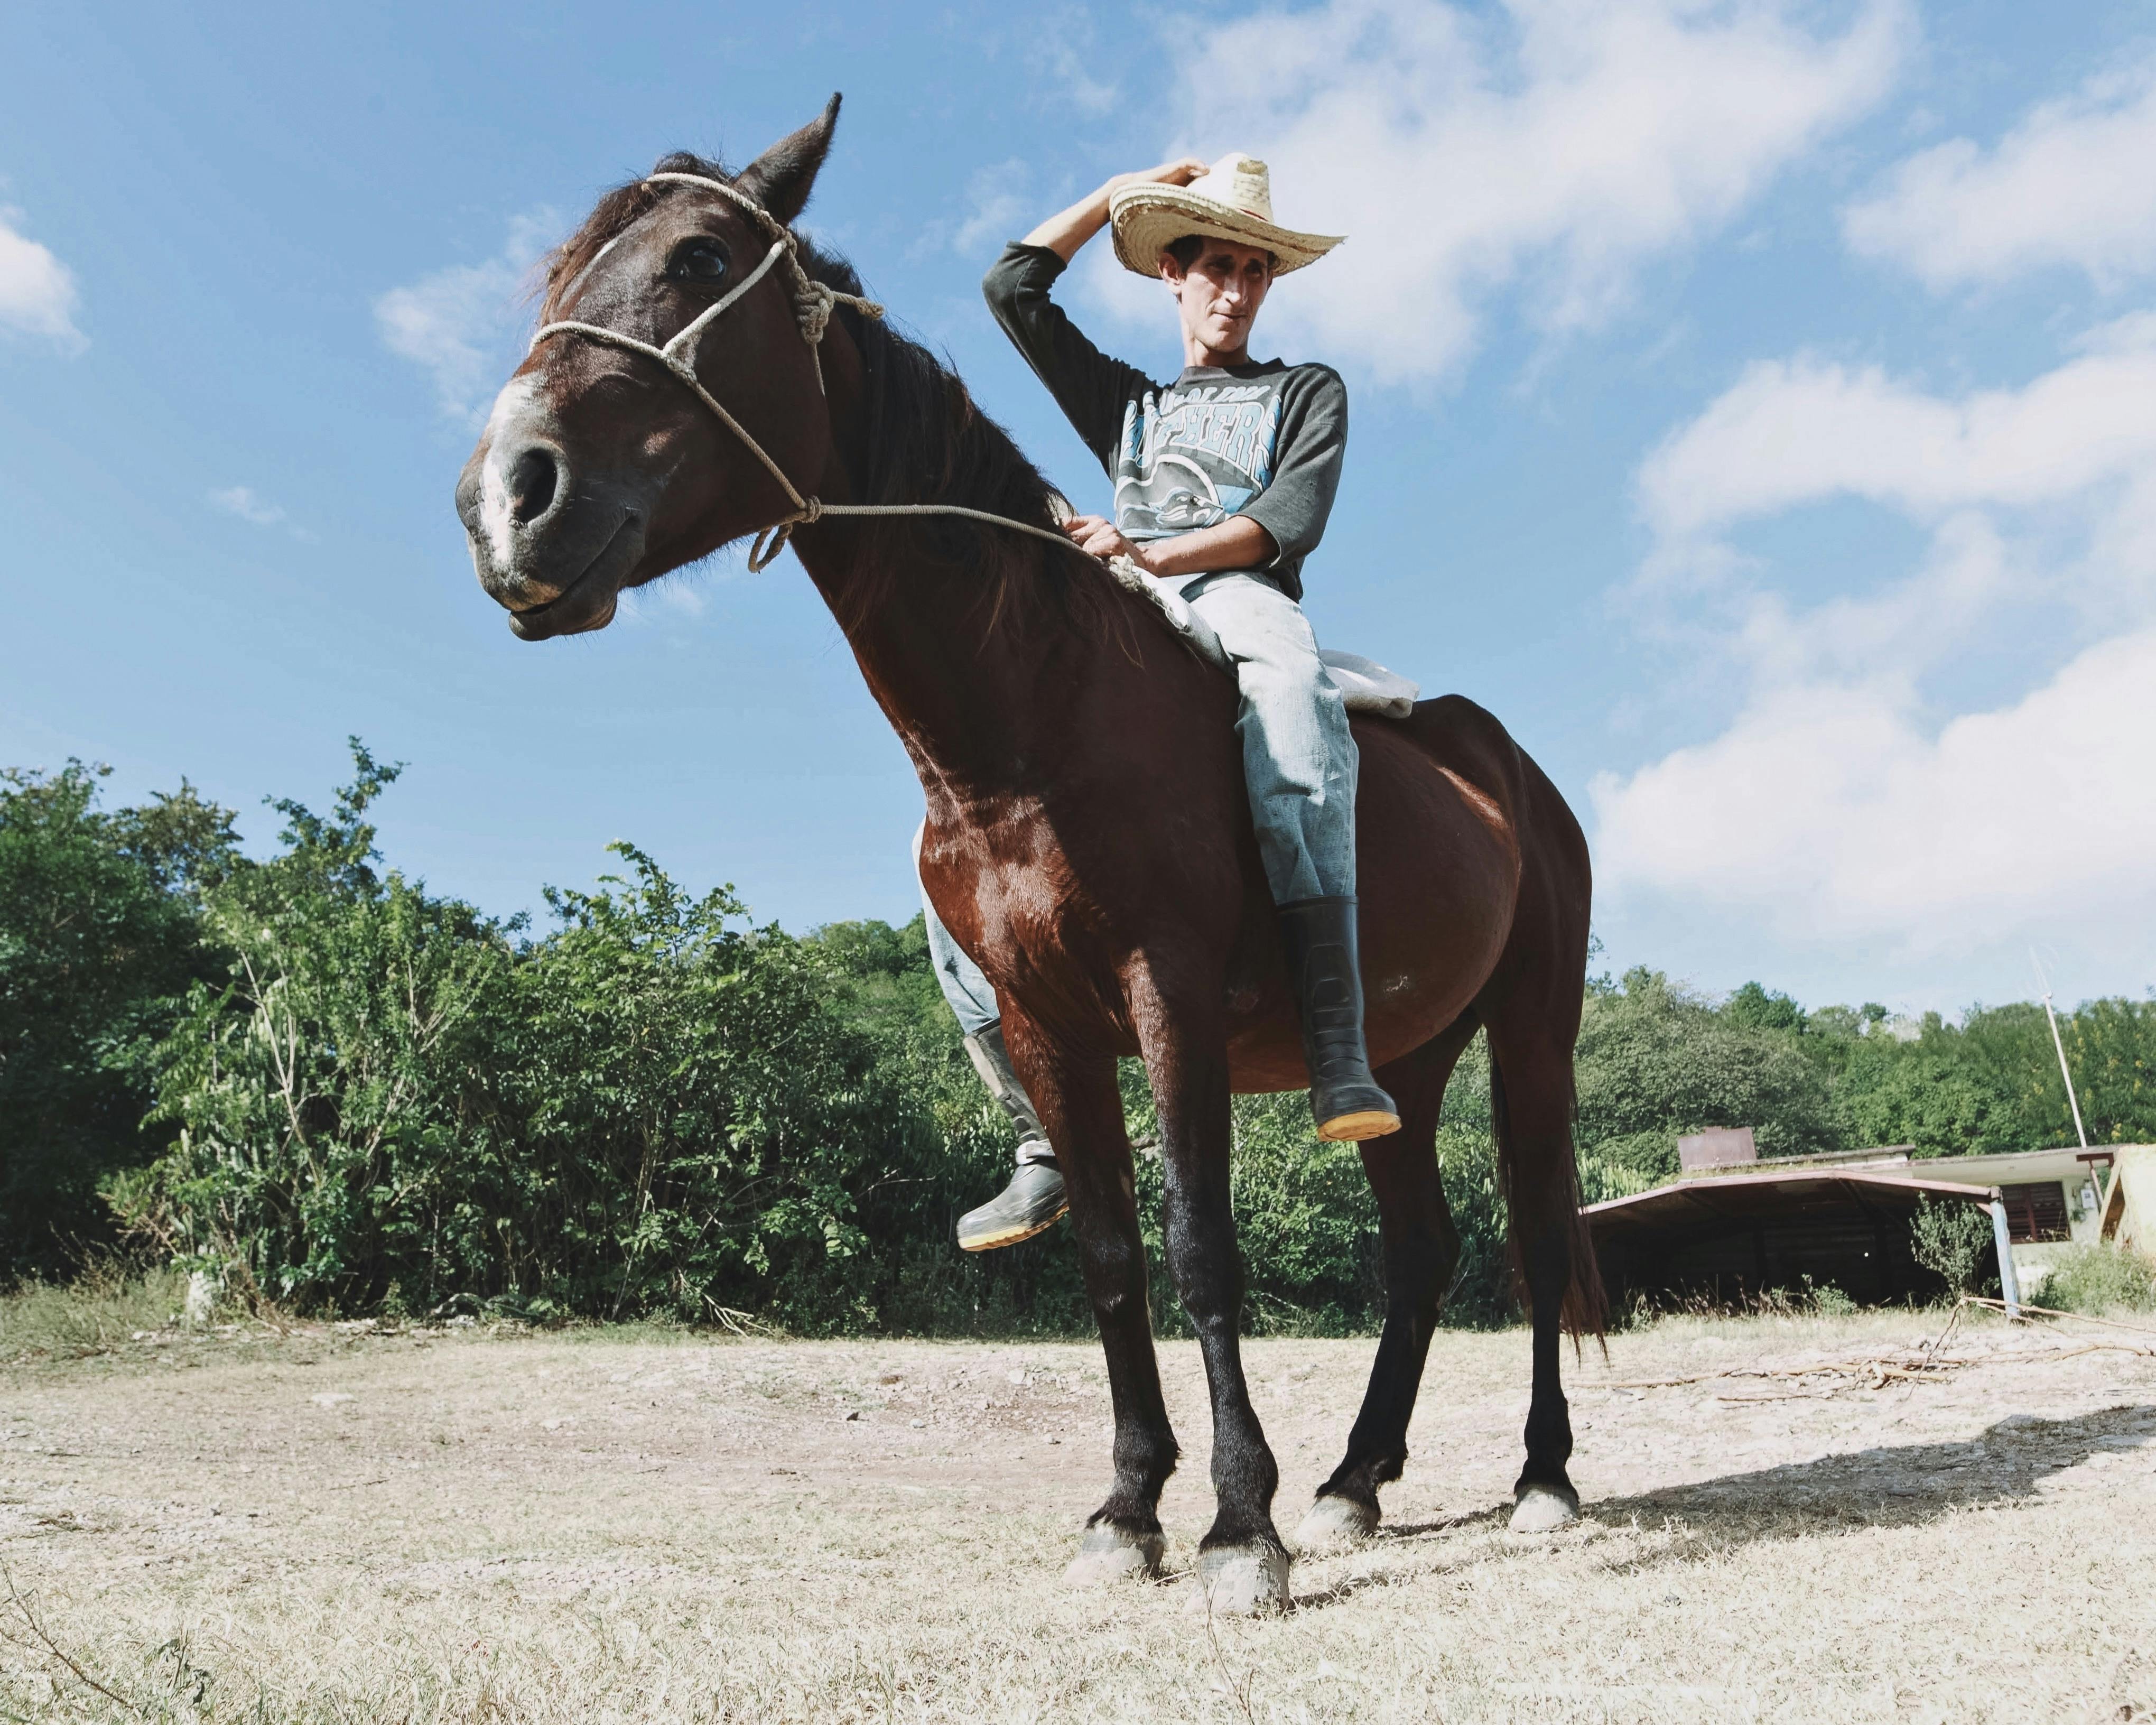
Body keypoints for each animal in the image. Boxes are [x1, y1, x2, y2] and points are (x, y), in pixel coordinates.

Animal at [455, 96, 1603, 1614]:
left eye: (700, 259)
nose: (507, 499)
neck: (1038, 725)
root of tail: (1518, 777)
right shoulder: (1046, 1022)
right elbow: (1110, 1257)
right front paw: (1130, 1509)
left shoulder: (1169, 997)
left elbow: (1198, 1244)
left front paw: (1242, 1530)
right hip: (1403, 1065)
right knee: (1422, 1252)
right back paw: (1357, 1482)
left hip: (1532, 1035)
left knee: (1534, 1237)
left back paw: (1541, 1479)